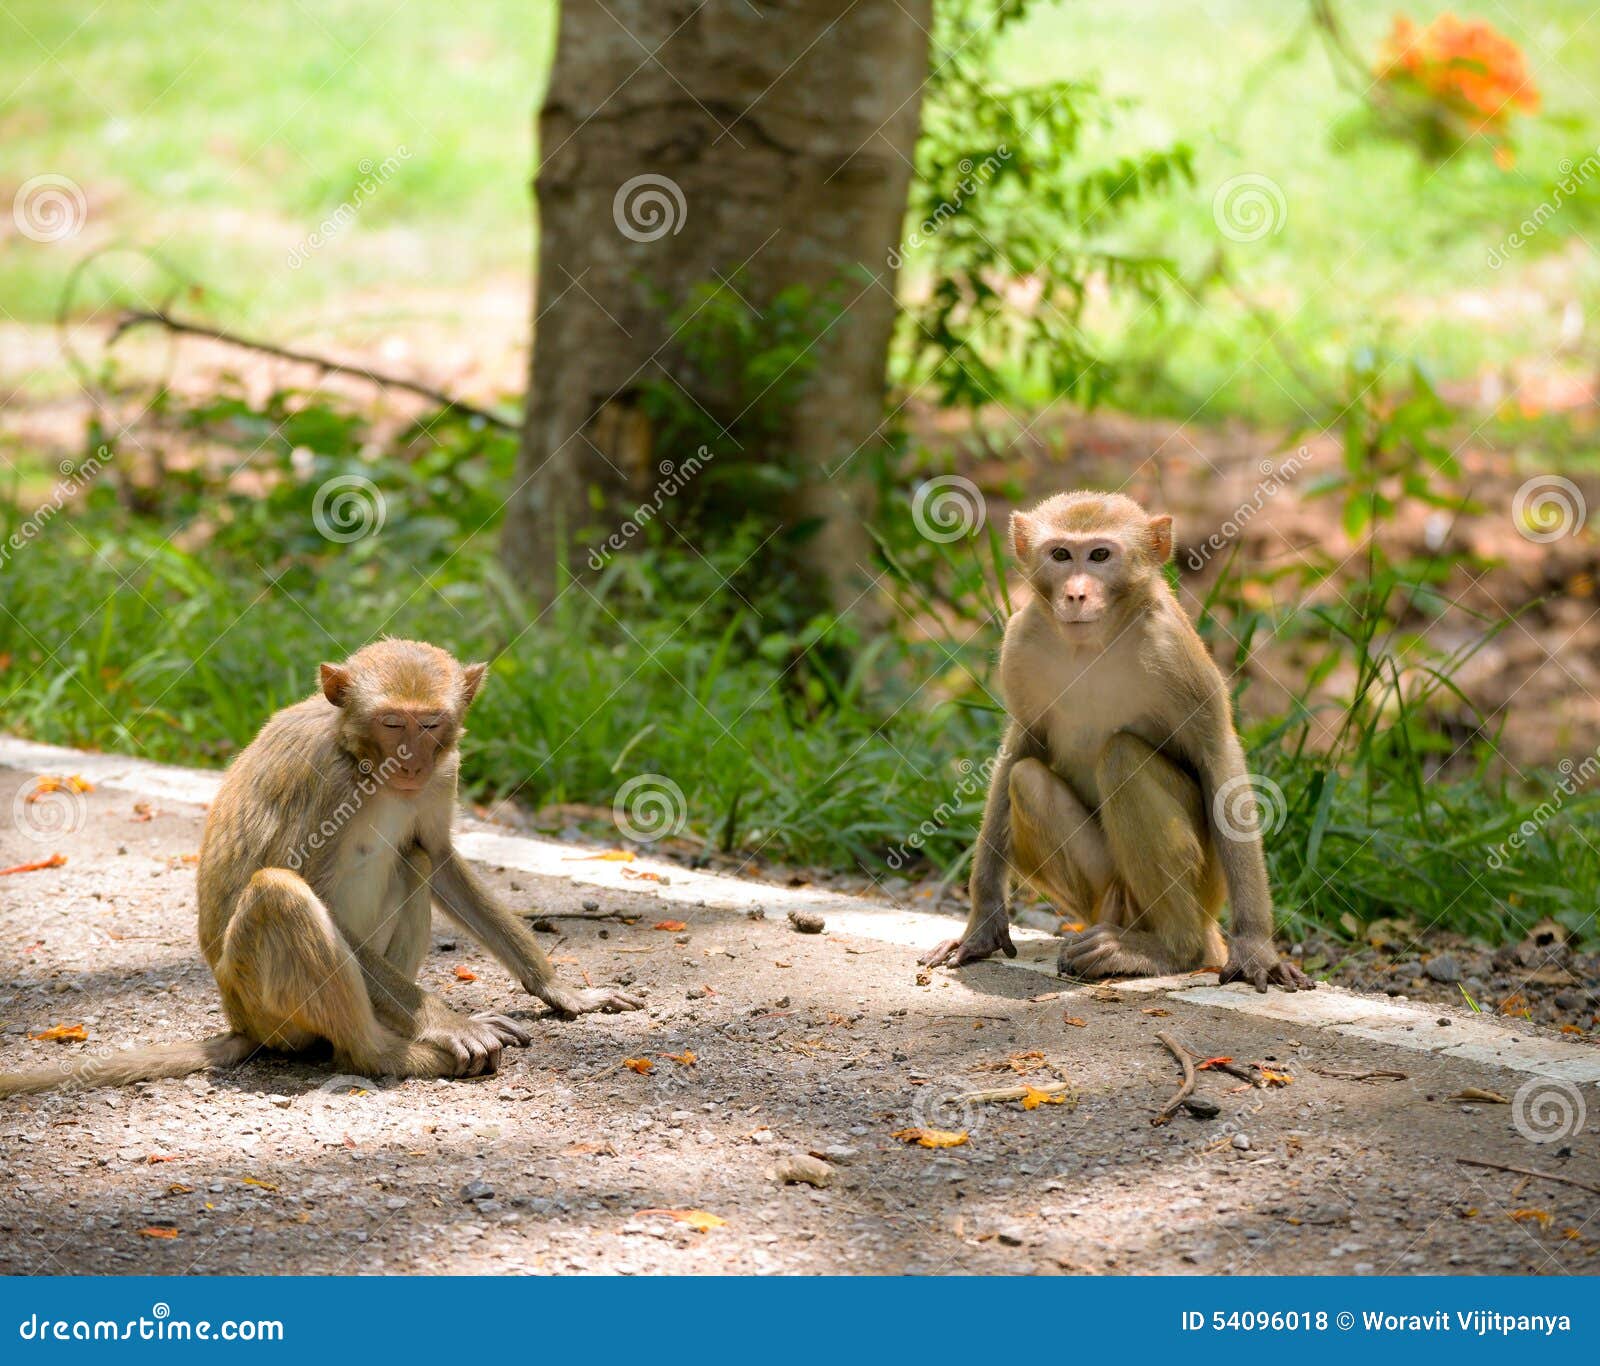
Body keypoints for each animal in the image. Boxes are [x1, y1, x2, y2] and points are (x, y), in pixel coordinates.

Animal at [0, 639, 641, 1097]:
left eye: (430, 723)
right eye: (391, 722)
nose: (410, 759)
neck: (365, 764)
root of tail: (241, 1022)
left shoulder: (444, 772)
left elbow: (439, 856)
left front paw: (561, 990)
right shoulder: (326, 782)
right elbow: (313, 890)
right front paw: (449, 1022)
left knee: (411, 857)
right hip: (265, 1002)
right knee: (279, 892)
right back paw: (391, 1053)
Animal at [921, 491, 1311, 993]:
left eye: (1100, 555)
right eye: (1061, 555)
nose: (1076, 593)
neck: (1096, 643)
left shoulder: (1174, 651)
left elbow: (1217, 757)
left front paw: (1255, 947)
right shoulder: (1020, 643)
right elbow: (1022, 746)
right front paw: (983, 923)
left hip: (1203, 888)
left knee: (1123, 756)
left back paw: (1170, 950)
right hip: (1104, 898)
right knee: (1027, 779)